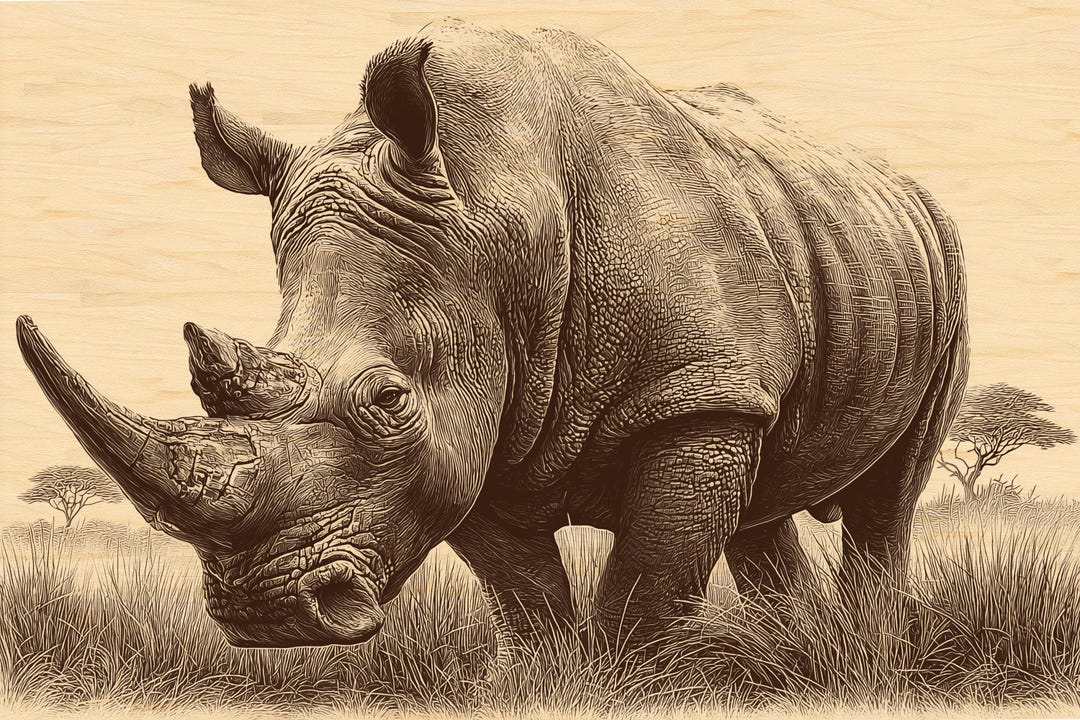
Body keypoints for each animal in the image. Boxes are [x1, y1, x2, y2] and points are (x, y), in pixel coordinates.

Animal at [17, 21, 967, 655]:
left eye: (388, 398)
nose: (268, 615)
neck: (497, 212)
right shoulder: (474, 424)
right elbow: (523, 591)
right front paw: (543, 682)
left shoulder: (695, 387)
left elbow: (650, 578)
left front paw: (628, 683)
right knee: (761, 492)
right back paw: (793, 651)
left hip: (943, 267)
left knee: (887, 500)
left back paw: (864, 649)